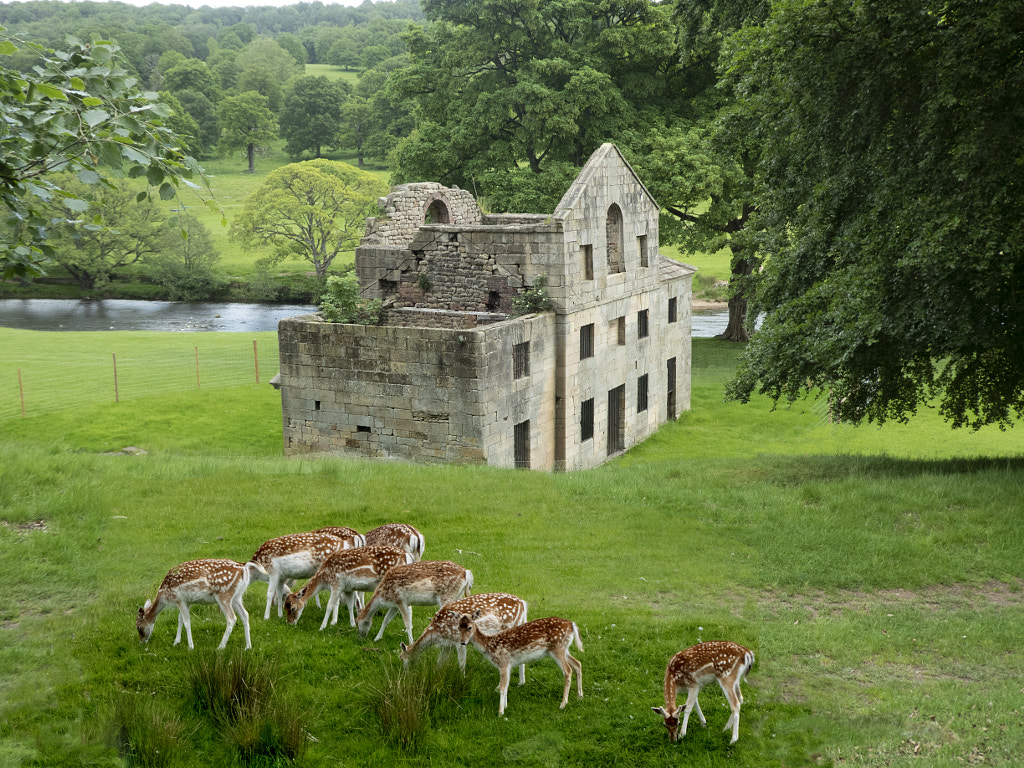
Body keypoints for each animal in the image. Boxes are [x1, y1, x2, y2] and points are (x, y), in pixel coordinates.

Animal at [136, 559, 266, 650]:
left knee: (232, 618)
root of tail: (244, 567)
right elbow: (180, 619)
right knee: (245, 615)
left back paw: (220, 647)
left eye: (138, 627)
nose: (141, 641)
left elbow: (187, 622)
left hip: (223, 594)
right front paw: (176, 642)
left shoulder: (180, 599)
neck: (164, 595)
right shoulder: (186, 601)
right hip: (237, 596)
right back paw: (248, 646)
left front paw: (190, 647)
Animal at [284, 545, 412, 629]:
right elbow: (350, 605)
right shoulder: (348, 588)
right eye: (285, 607)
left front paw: (322, 627)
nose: (289, 623)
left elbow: (329, 606)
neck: (324, 580)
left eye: (293, 608)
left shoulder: (337, 584)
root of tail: (407, 556)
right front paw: (352, 624)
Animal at [399, 592, 528, 680]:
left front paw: (462, 679)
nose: (404, 675)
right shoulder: (447, 644)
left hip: (508, 627)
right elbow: (439, 662)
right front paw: (436, 676)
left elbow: (461, 662)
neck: (437, 632)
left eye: (401, 657)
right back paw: (521, 682)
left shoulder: (458, 640)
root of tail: (522, 603)